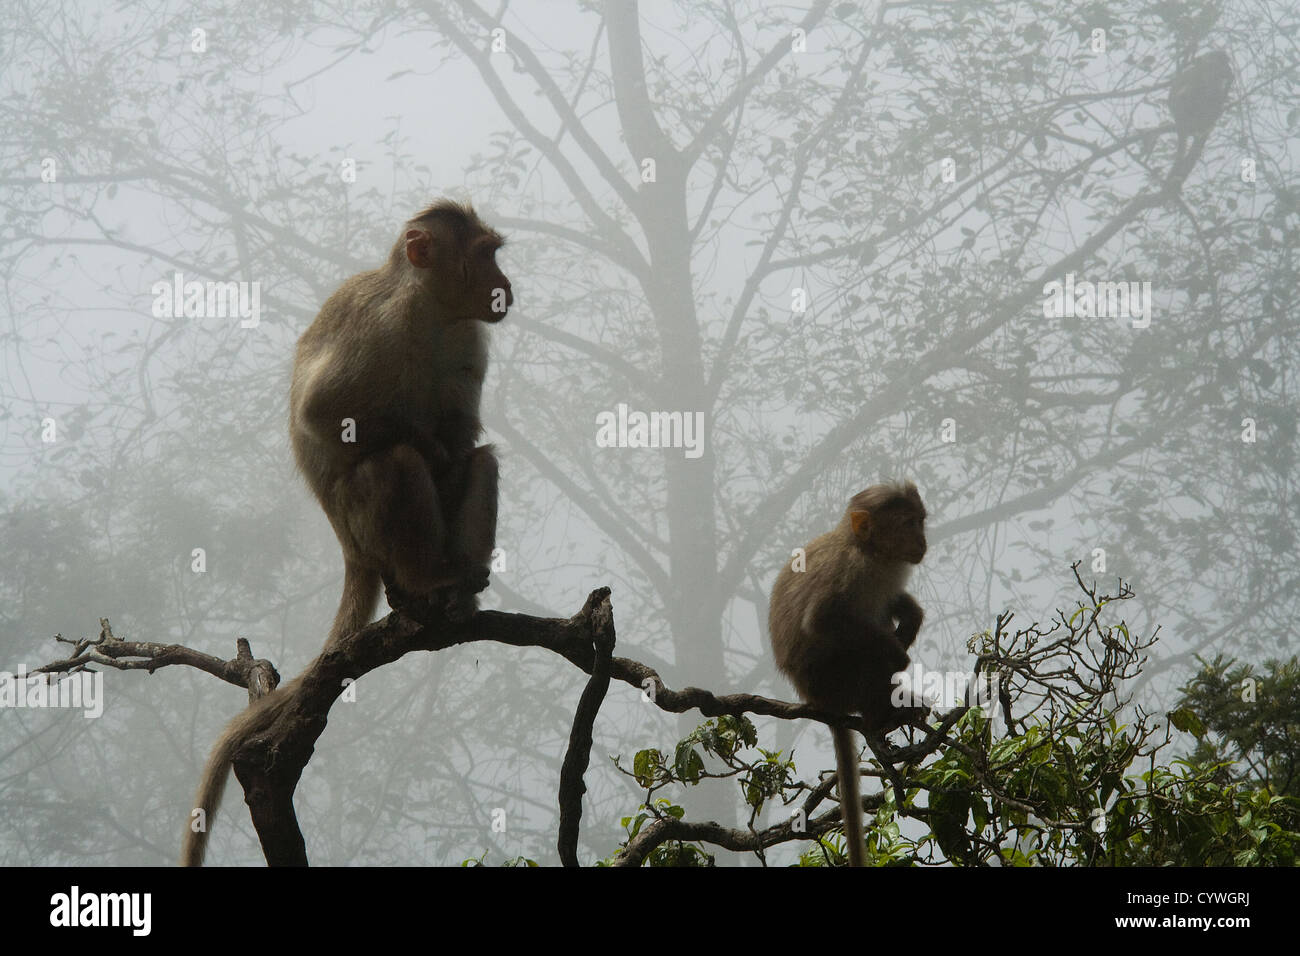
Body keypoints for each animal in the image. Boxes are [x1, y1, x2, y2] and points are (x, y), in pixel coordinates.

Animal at [180, 199, 511, 866]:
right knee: (391, 463)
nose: (506, 287)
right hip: (365, 529)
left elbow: (464, 434)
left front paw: (452, 448)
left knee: (481, 460)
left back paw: (462, 585)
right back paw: (429, 577)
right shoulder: (377, 325)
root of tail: (349, 549)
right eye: (485, 254)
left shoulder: (468, 335)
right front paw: (426, 443)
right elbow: (328, 412)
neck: (430, 311)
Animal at [768, 481, 929, 867]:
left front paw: (911, 617)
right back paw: (881, 714)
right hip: (833, 680)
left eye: (920, 520)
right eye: (907, 523)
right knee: (864, 652)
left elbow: (892, 602)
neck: (869, 550)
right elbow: (823, 619)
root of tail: (819, 701)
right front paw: (896, 651)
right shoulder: (850, 570)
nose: (922, 541)